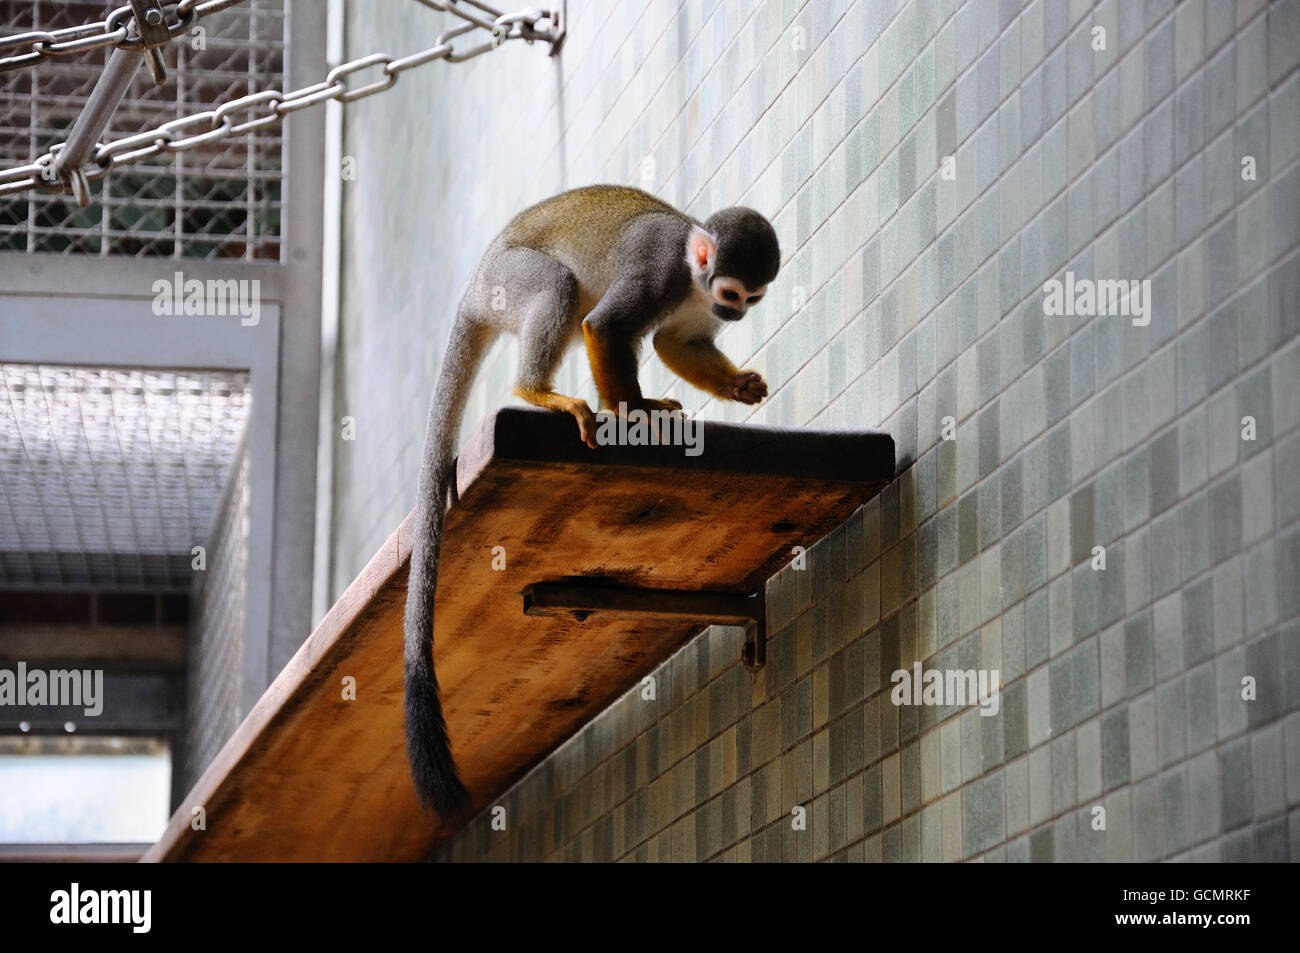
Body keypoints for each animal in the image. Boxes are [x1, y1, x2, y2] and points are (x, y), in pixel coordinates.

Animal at [403, 184, 781, 821]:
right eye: (734, 294)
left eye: (751, 299)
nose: (736, 314)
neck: (692, 274)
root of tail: (475, 285)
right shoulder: (658, 275)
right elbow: (604, 328)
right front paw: (634, 413)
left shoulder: (694, 307)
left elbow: (675, 341)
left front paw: (735, 386)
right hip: (507, 281)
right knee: (559, 286)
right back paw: (537, 392)